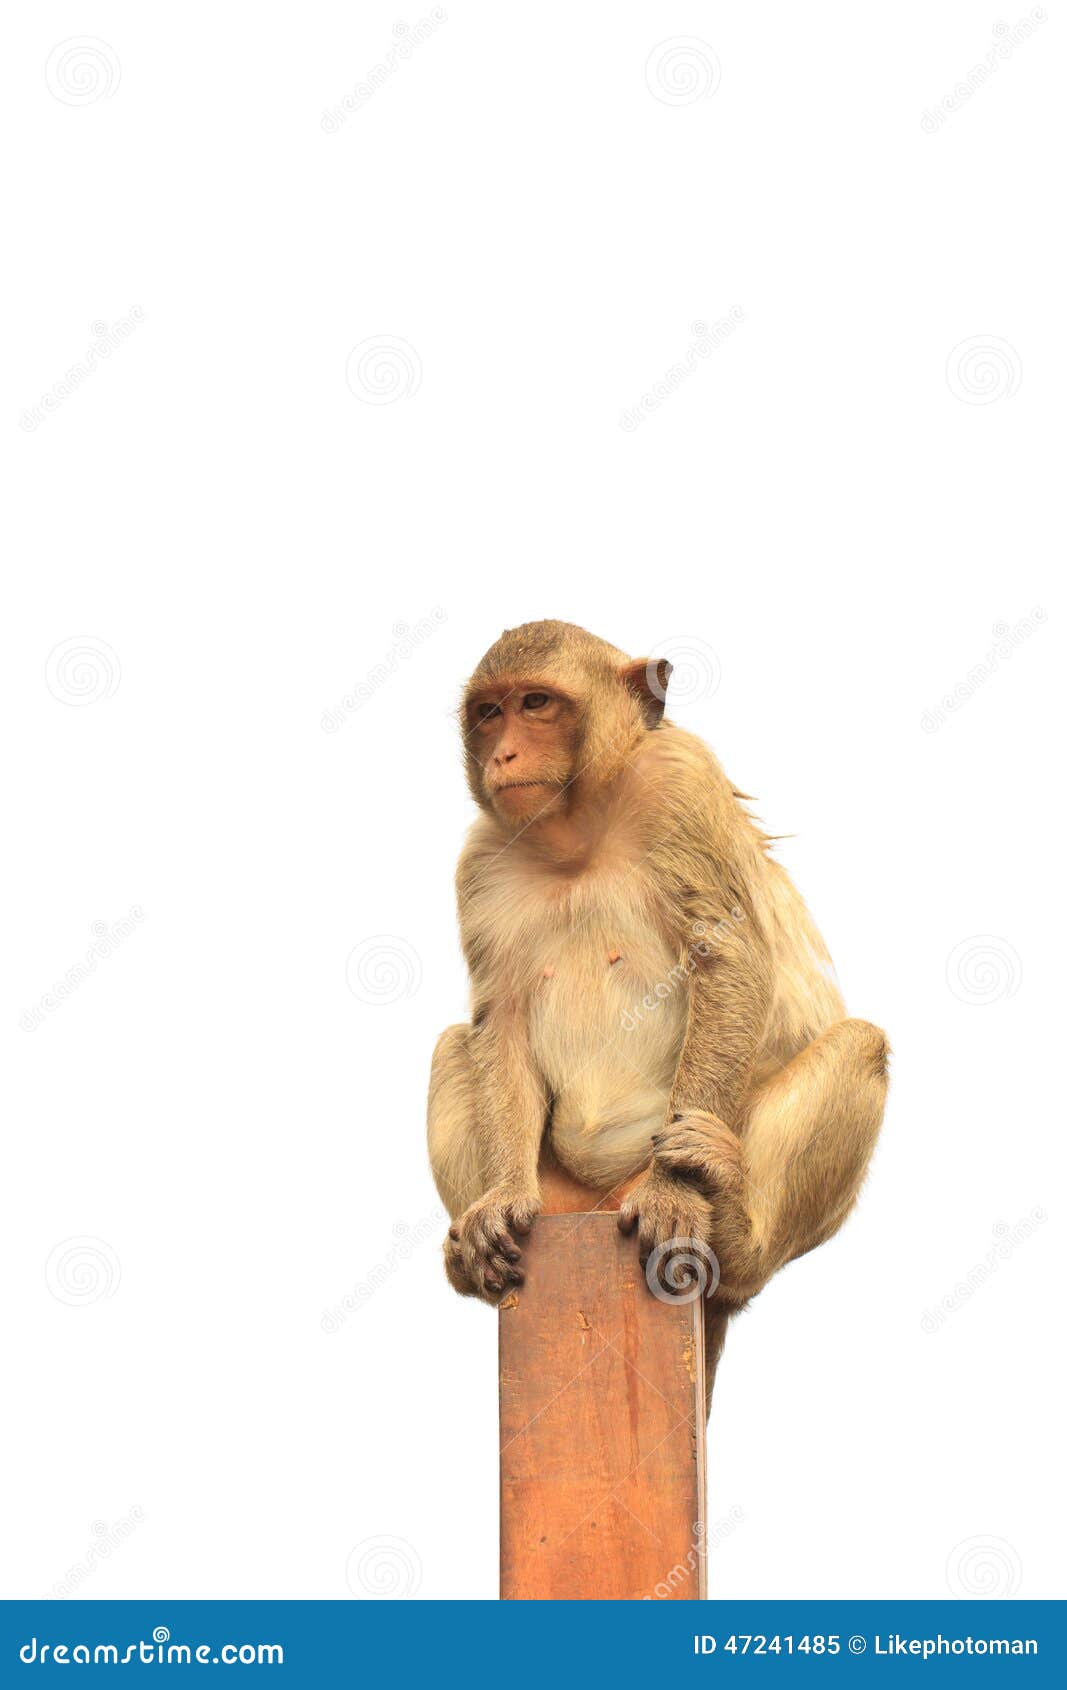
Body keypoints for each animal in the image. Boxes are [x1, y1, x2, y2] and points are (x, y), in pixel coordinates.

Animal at [427, 620, 888, 1387]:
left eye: (535, 703)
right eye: (489, 713)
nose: (504, 754)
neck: (580, 833)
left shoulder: (680, 779)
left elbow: (726, 956)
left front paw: (677, 1194)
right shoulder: (481, 861)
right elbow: (500, 1021)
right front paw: (499, 1201)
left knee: (861, 1046)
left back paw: (735, 1233)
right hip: (568, 1205)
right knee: (452, 1046)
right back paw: (470, 1255)